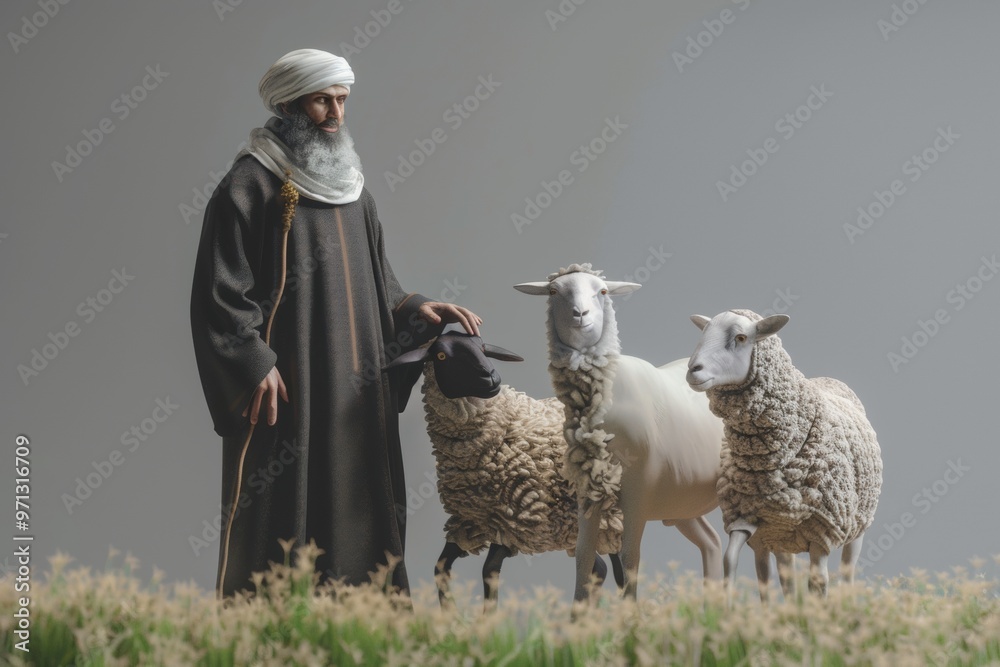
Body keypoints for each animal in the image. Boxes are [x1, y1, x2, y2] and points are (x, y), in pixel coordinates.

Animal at [385, 331, 624, 609]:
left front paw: (487, 617)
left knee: (609, 570)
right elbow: (440, 568)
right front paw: (450, 614)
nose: (490, 376)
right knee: (607, 569)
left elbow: (489, 570)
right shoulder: (470, 521)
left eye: (482, 348)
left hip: (594, 519)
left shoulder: (513, 520)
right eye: (441, 355)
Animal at [515, 263, 725, 604]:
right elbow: (584, 555)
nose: (581, 314)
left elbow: (630, 558)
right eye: (554, 291)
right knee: (712, 542)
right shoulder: (588, 488)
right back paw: (715, 607)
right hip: (681, 501)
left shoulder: (639, 490)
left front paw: (630, 613)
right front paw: (578, 613)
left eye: (602, 291)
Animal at [685, 309, 883, 598]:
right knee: (785, 577)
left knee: (847, 571)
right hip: (782, 537)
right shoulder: (750, 523)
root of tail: (830, 379)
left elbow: (818, 581)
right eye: (703, 333)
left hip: (856, 523)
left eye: (741, 337)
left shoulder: (822, 529)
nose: (692, 369)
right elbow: (738, 564)